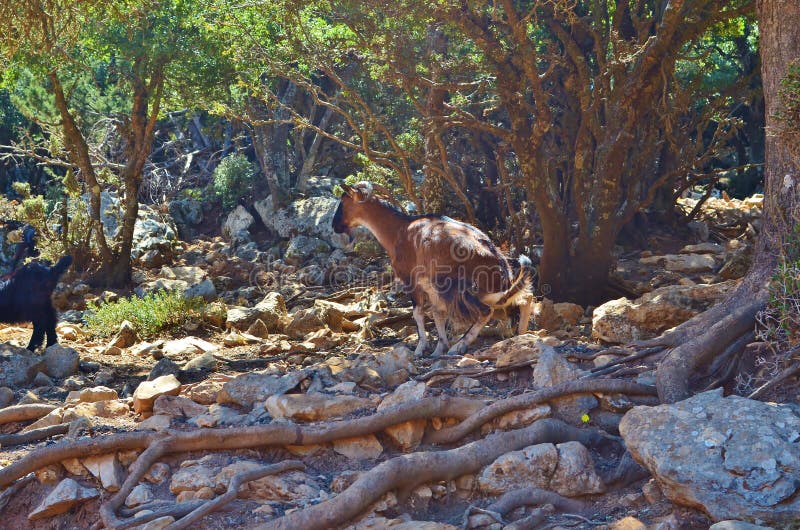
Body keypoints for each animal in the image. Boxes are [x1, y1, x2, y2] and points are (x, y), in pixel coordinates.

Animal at [333, 181, 534, 356]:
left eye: (343, 201)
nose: (334, 226)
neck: (399, 230)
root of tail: (503, 272)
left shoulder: (412, 281)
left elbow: (418, 313)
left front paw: (421, 349)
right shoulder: (429, 286)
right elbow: (437, 314)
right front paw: (439, 348)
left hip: (461, 289)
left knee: (486, 311)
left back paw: (459, 346)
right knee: (523, 299)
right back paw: (521, 334)